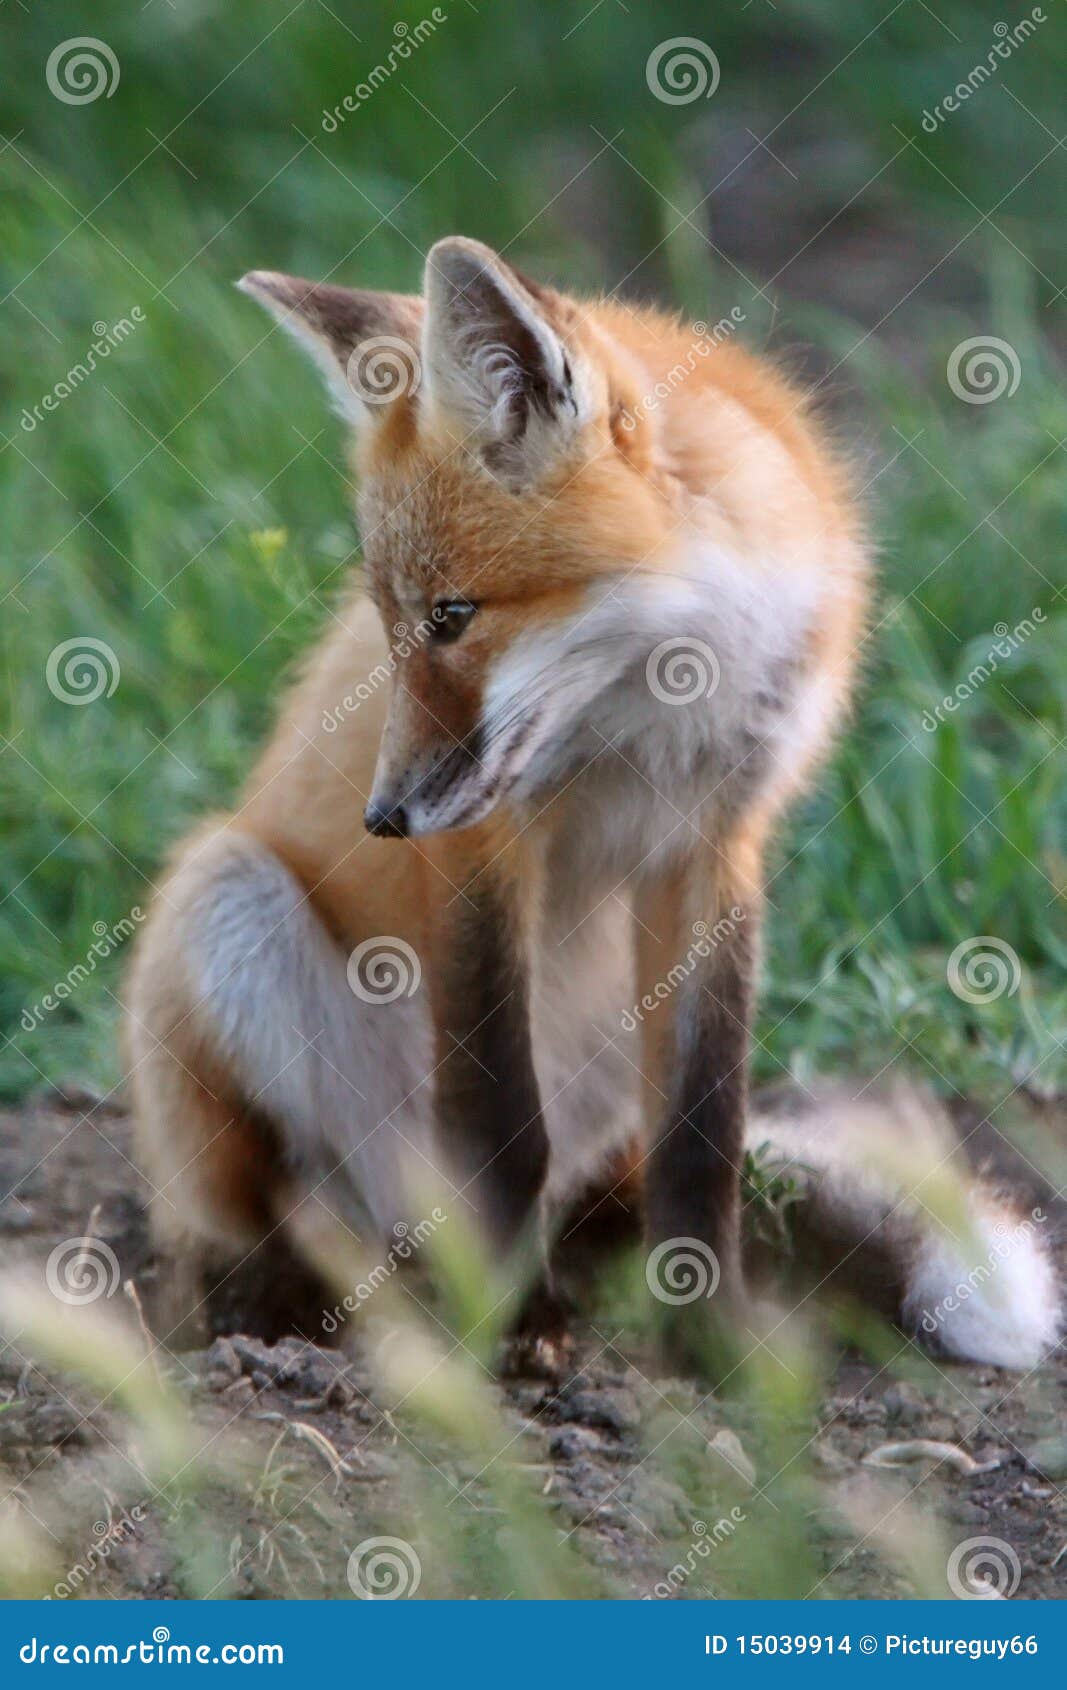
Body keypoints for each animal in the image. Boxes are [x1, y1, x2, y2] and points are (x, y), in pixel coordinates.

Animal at [125, 237, 1061, 1375]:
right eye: (388, 619)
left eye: (451, 615)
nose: (383, 819)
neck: (655, 714)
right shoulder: (487, 840)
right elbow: (496, 1123)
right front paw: (491, 1340)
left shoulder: (717, 844)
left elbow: (701, 1139)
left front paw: (710, 1343)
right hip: (229, 902)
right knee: (276, 1215)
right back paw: (282, 1310)